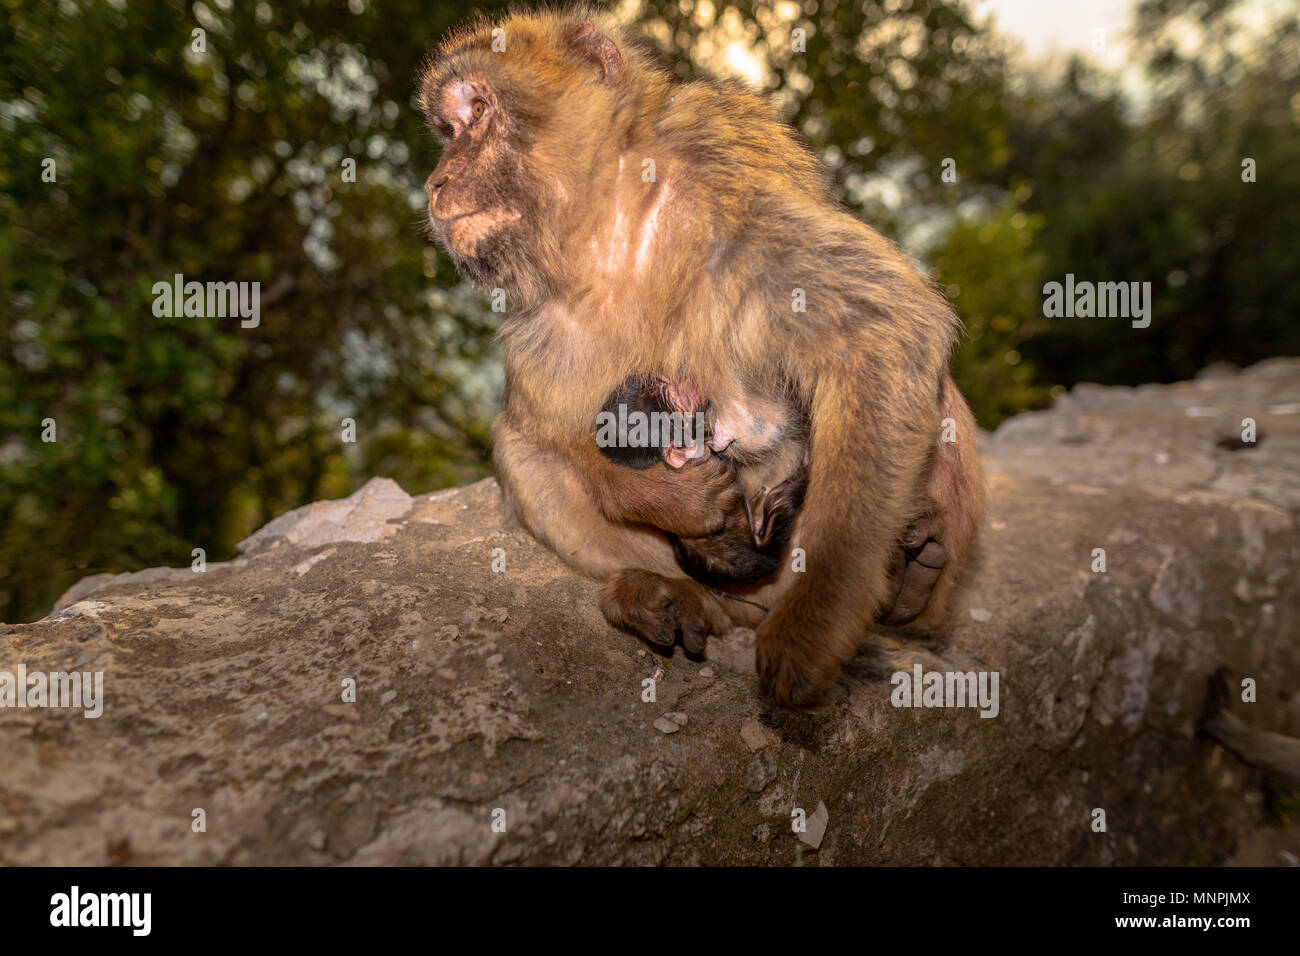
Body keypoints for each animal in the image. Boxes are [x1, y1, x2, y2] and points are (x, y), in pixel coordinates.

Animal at [419, 8, 987, 705]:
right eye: (449, 129)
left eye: (476, 111)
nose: (437, 183)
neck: (611, 219)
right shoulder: (541, 311)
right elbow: (550, 425)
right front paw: (663, 498)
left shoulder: (720, 181)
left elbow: (883, 327)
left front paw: (816, 623)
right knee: (523, 446)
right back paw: (679, 596)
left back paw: (910, 580)